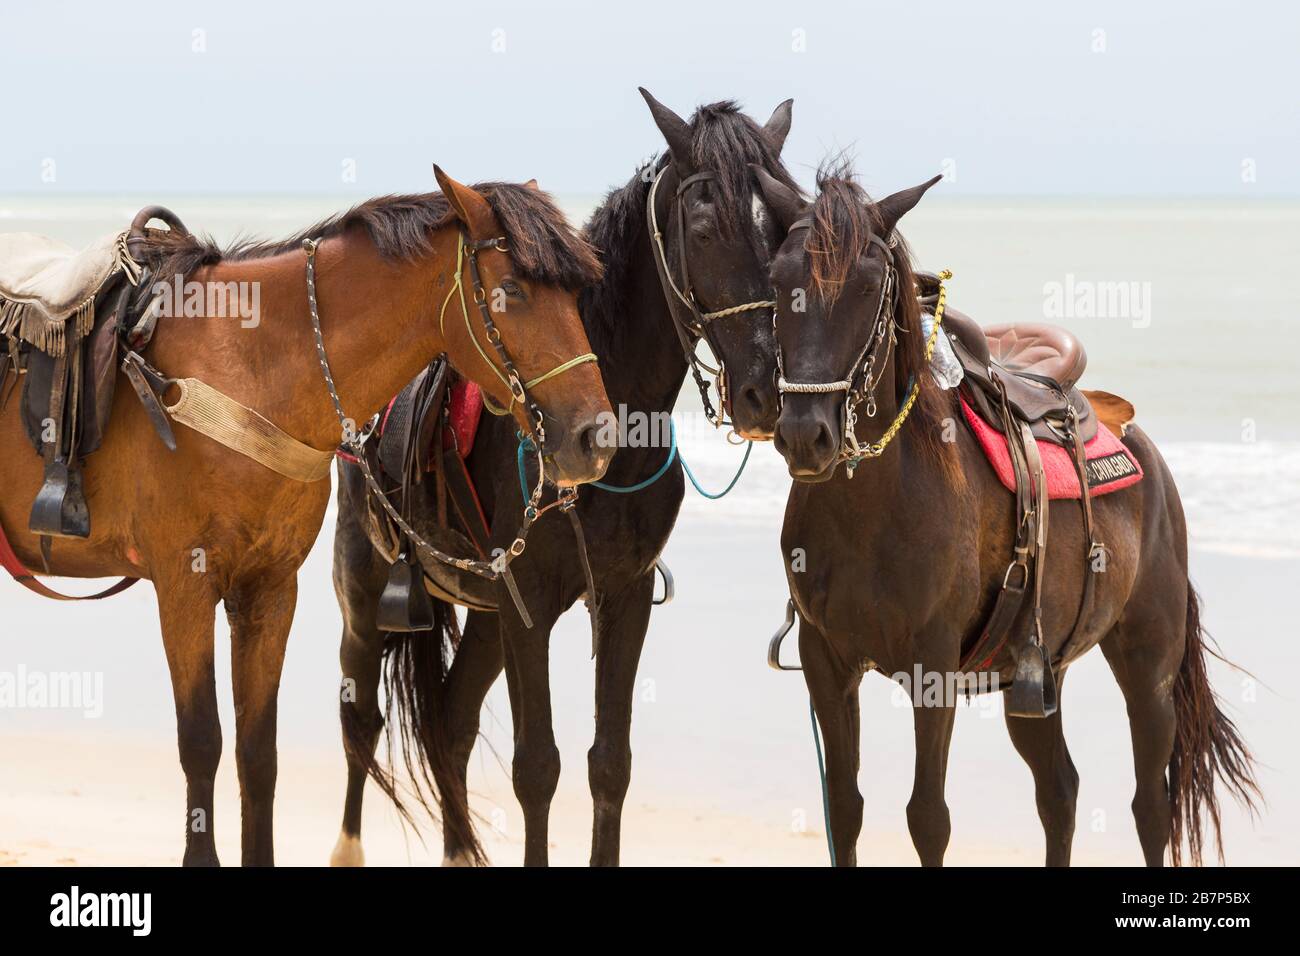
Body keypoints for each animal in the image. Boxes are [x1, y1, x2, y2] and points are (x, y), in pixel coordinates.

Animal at [0, 167, 611, 865]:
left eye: (577, 293)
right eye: (512, 291)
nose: (596, 437)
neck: (248, 370)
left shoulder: (270, 590)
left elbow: (257, 753)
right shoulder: (185, 586)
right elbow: (202, 742)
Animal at [330, 91, 800, 866]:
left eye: (788, 229)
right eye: (704, 230)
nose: (765, 391)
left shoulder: (622, 597)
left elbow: (610, 763)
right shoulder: (530, 606)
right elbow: (537, 768)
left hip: (486, 617)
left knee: (449, 725)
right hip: (365, 594)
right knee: (361, 725)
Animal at [751, 158, 1260, 866]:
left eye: (870, 284)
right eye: (778, 281)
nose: (806, 435)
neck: (872, 509)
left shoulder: (934, 669)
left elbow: (927, 818)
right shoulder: (826, 664)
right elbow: (843, 811)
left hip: (1148, 667)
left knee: (1149, 808)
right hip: (1038, 675)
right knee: (1060, 792)